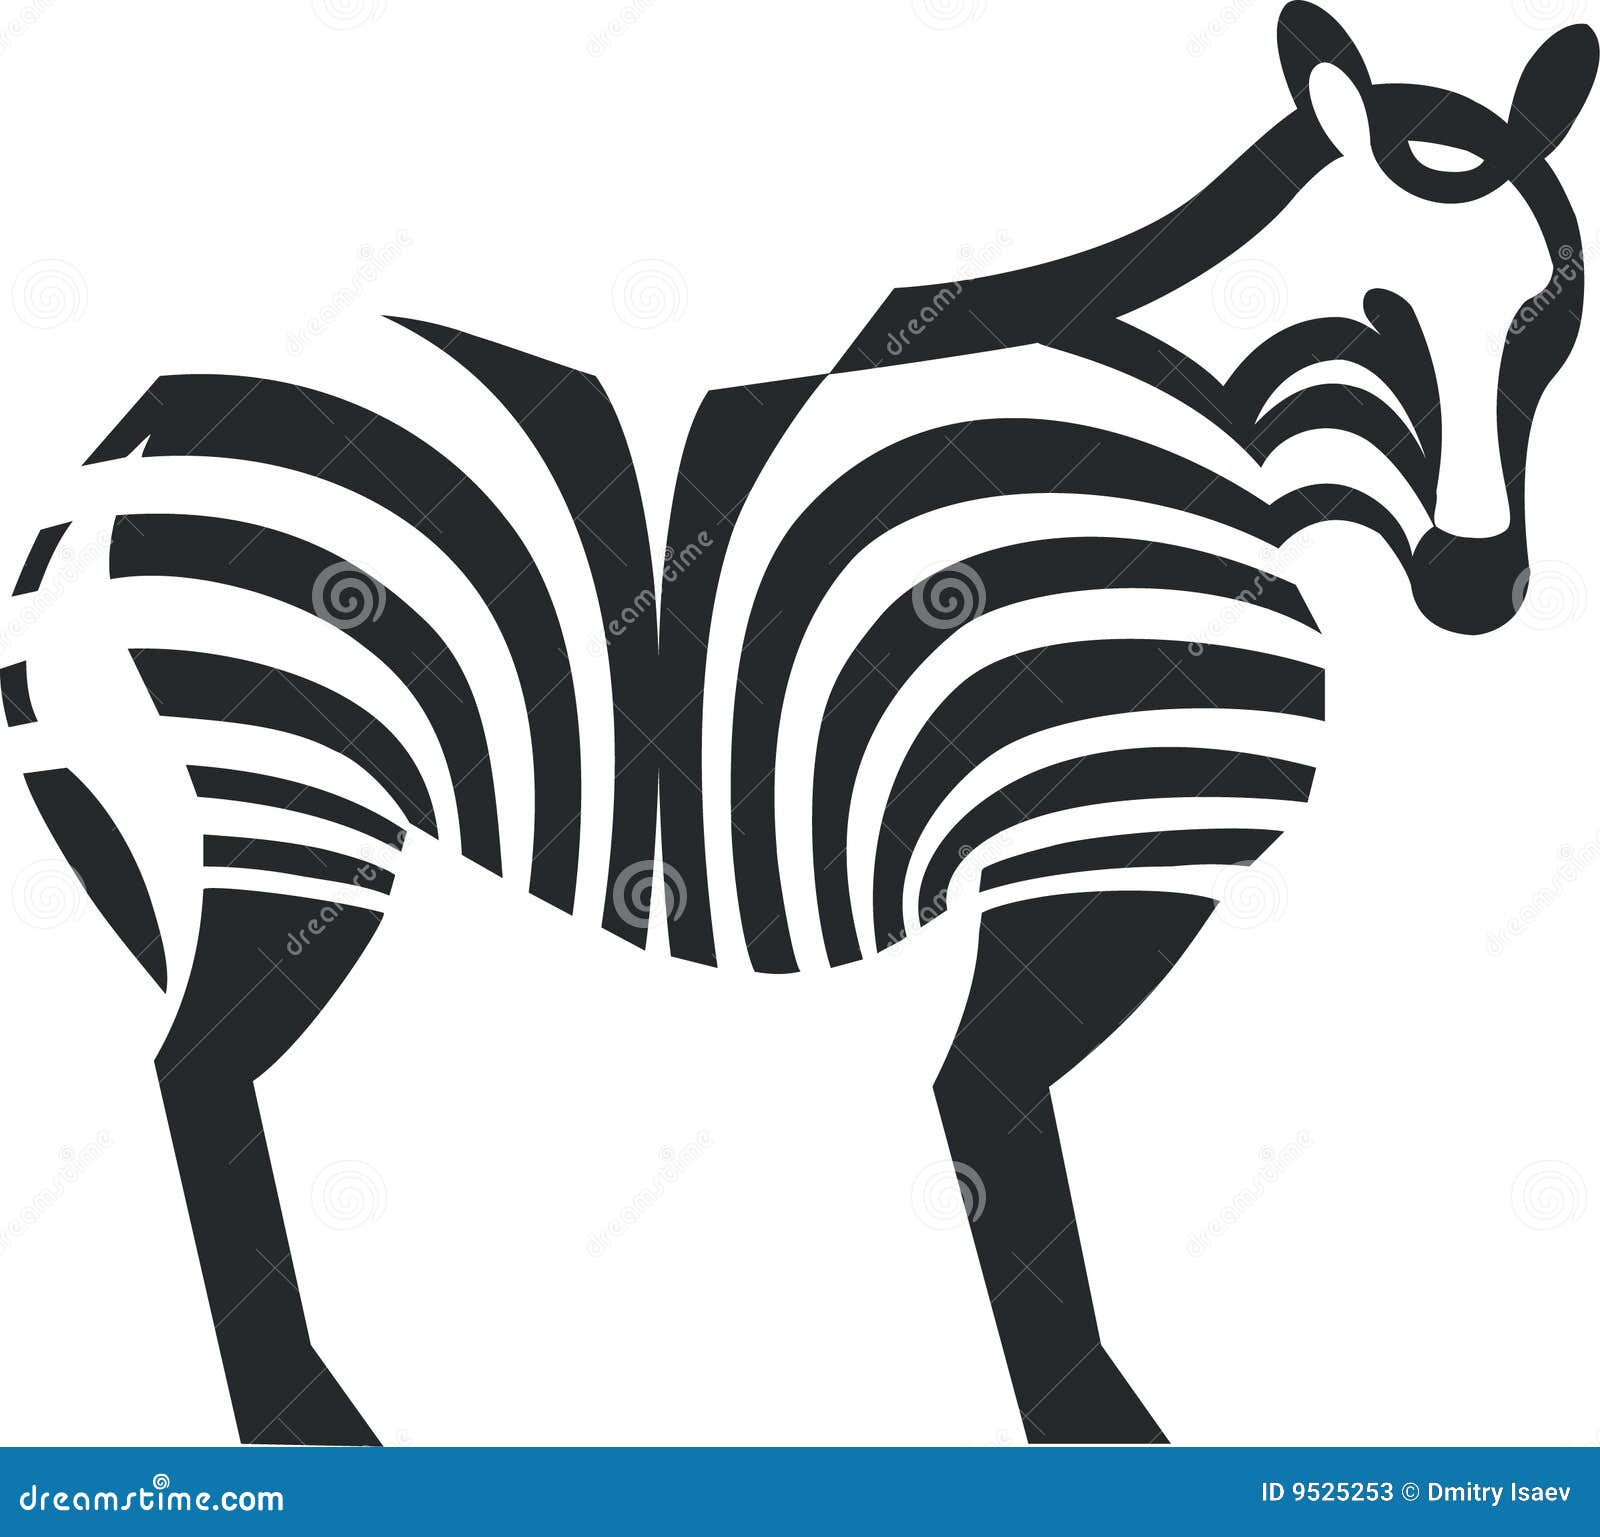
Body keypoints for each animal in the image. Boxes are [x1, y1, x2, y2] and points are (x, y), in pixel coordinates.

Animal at [1, 3, 1591, 1445]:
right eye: (1378, 316)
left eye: (1547, 320)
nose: (1479, 588)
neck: (1203, 434)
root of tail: (157, 408)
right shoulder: (1098, 855)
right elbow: (988, 1106)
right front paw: (1093, 1429)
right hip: (295, 801)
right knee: (200, 1070)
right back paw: (306, 1426)